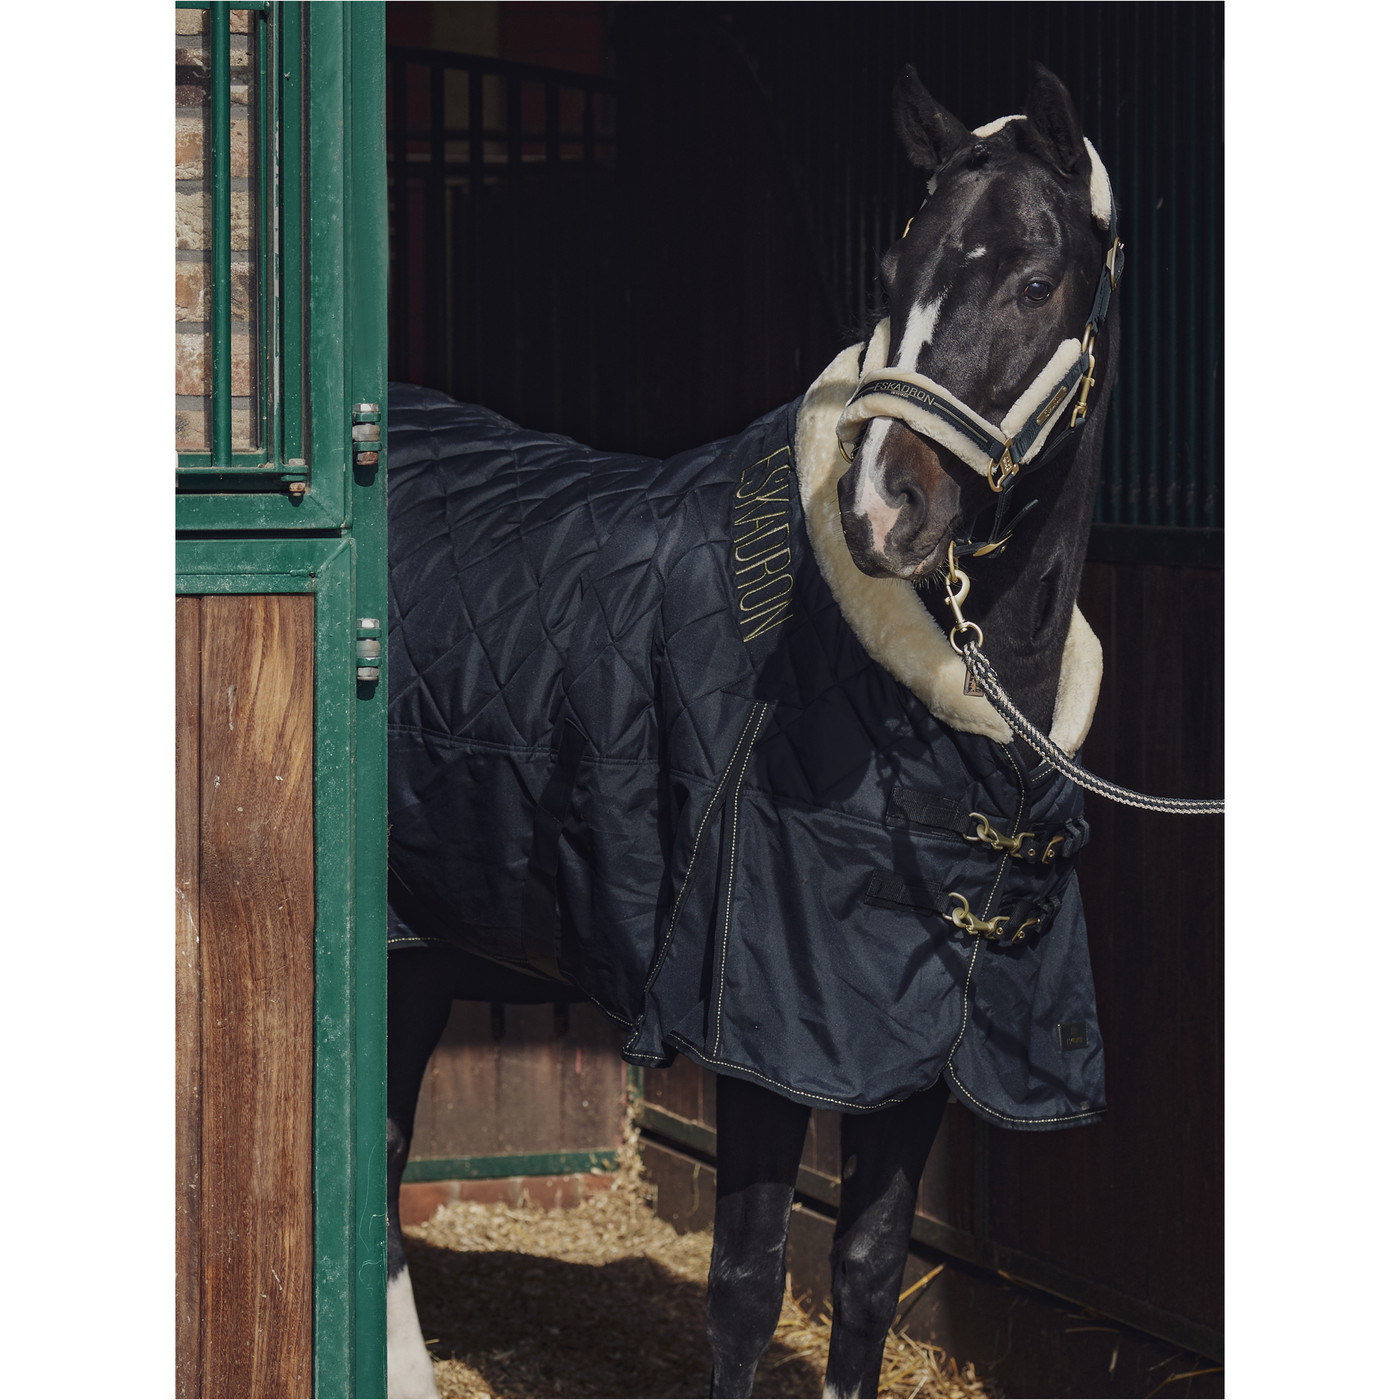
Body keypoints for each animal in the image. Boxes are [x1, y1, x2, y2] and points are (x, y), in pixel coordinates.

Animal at [384, 62, 1121, 1400]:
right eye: (891, 273)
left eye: (1036, 280)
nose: (881, 506)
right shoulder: (763, 1042)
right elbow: (742, 1287)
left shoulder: (911, 1051)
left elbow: (866, 1273)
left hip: (422, 933)